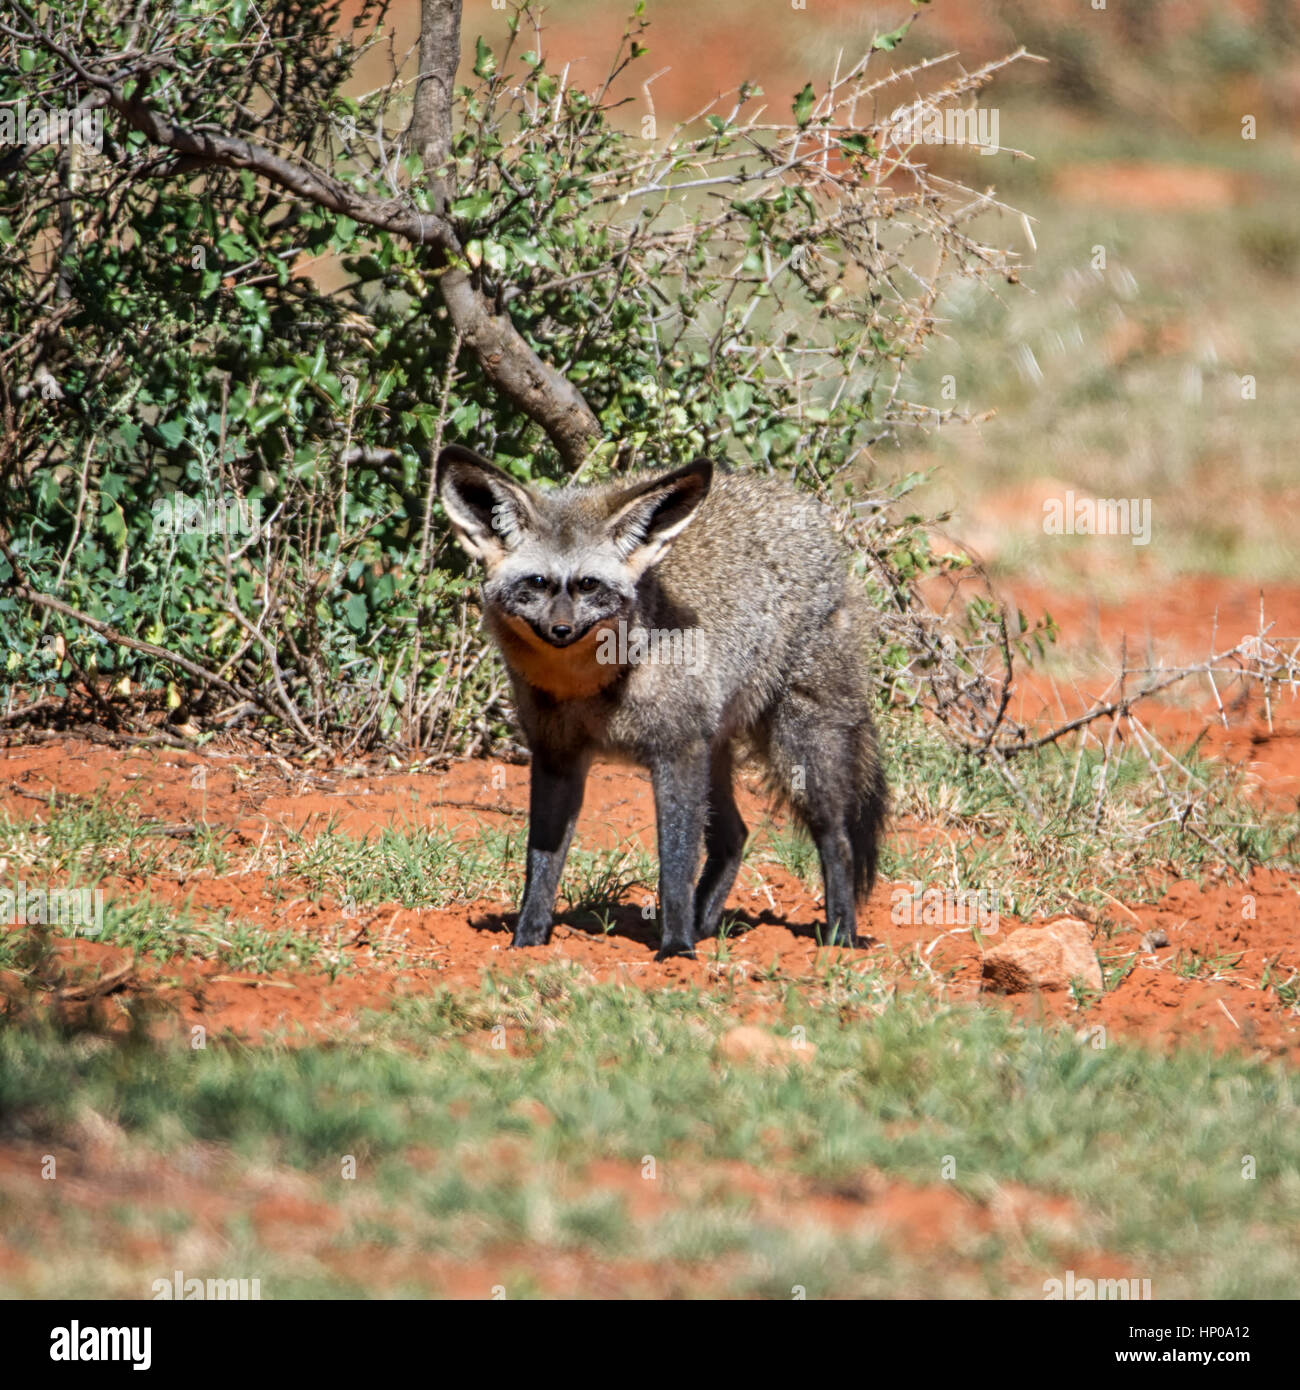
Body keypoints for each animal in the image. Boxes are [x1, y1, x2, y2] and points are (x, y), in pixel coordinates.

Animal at [436, 444, 887, 960]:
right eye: (536, 583)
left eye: (588, 585)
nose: (561, 631)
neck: (592, 690)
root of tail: (801, 504)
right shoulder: (557, 756)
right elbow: (542, 862)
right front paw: (527, 941)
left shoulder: (676, 752)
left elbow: (674, 862)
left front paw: (676, 951)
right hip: (717, 751)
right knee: (735, 836)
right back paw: (705, 924)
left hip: (800, 749)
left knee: (837, 838)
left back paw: (839, 937)